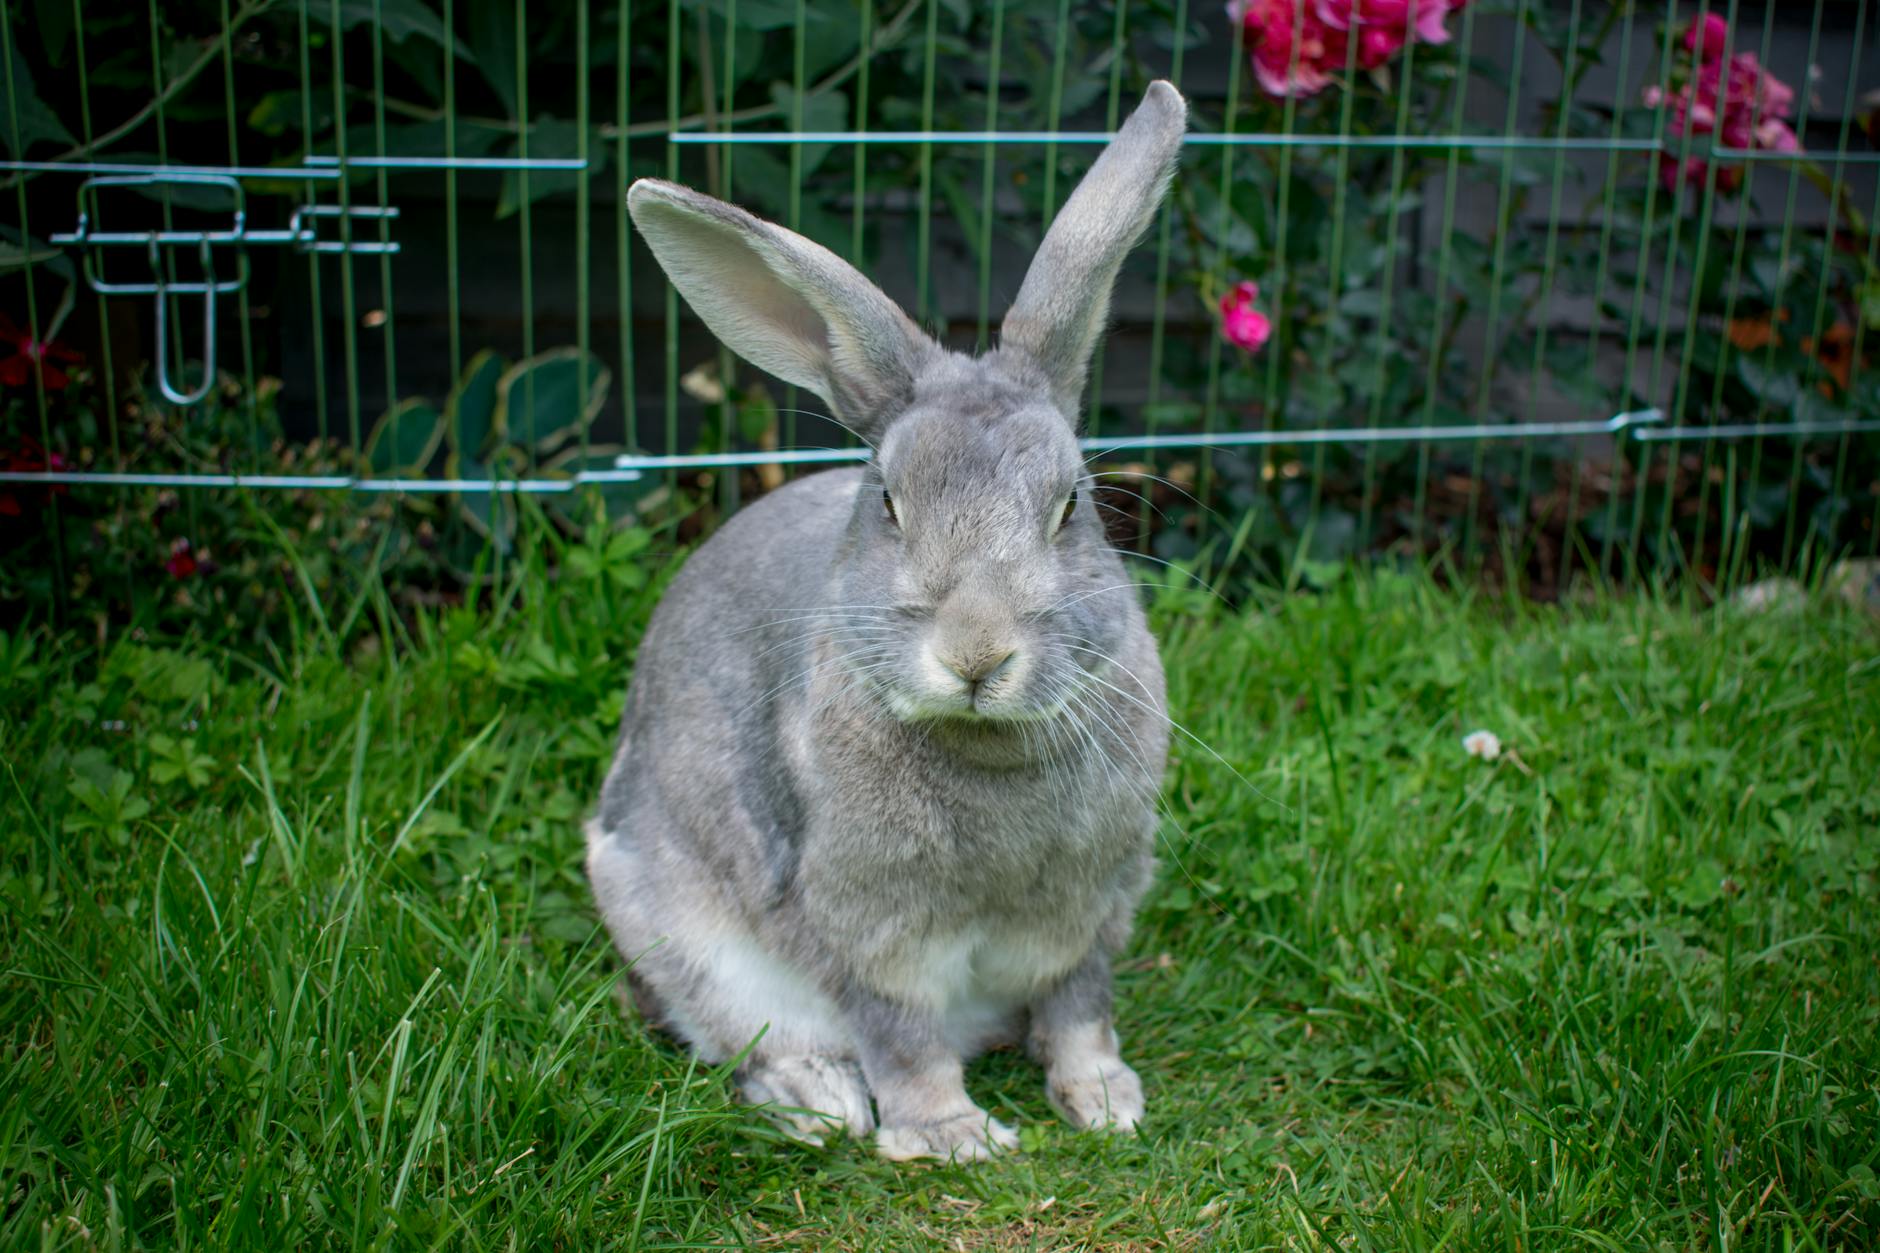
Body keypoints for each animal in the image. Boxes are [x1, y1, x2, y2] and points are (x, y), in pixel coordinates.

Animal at [586, 81, 1184, 1162]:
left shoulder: (1088, 915)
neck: (986, 747)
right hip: (676, 925)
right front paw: (952, 1137)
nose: (975, 654)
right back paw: (816, 1102)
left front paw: (1106, 1100)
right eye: (890, 503)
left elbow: (1080, 1007)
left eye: (1070, 505)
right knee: (740, 1038)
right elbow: (901, 1036)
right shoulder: (864, 930)